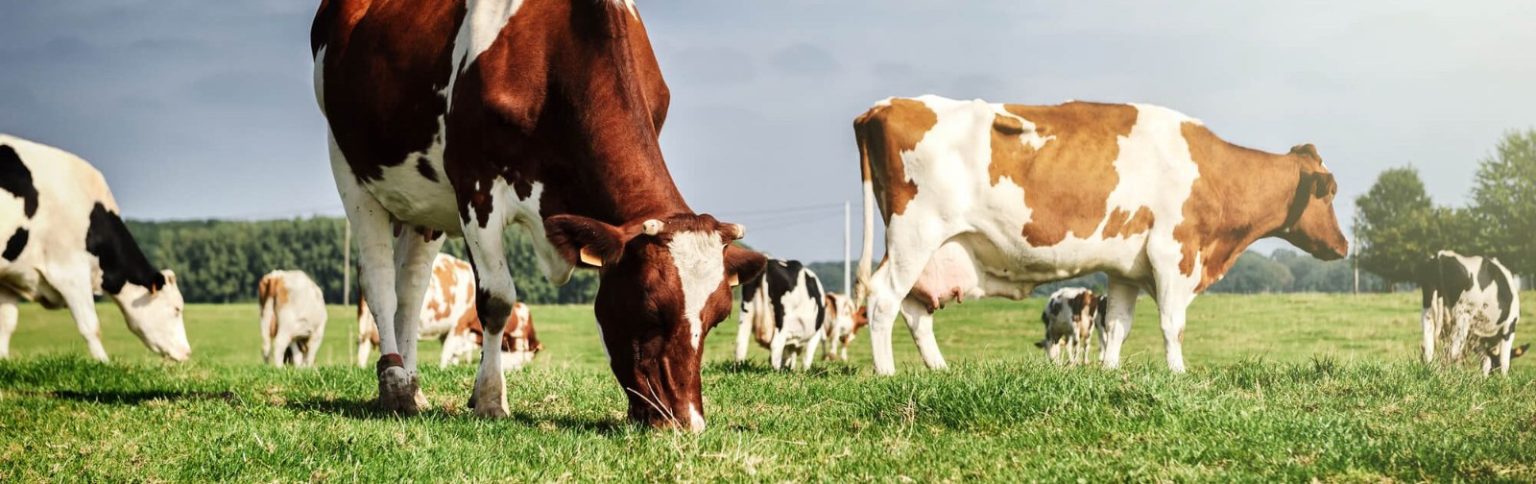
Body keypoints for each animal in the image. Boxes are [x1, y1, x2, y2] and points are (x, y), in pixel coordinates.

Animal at [0, 134, 190, 362]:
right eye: (177, 309)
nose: (187, 352)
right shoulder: (70, 272)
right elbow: (91, 326)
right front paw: (103, 363)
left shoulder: (10, 277)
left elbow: (6, 324)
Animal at [312, 0, 766, 429]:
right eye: (650, 308)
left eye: (718, 317)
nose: (688, 423)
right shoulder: (475, 186)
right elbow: (497, 299)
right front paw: (491, 399)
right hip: (349, 167)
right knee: (380, 282)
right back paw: (393, 383)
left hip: (424, 202)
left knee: (411, 290)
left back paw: (413, 387)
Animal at [853, 95, 1349, 375]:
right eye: (1330, 191)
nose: (1344, 245)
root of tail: (887, 105)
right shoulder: (1174, 252)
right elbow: (1173, 324)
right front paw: (1179, 375)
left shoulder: (1127, 267)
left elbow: (1118, 326)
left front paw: (1109, 374)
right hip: (914, 234)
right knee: (883, 300)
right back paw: (887, 374)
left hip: (931, 249)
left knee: (915, 310)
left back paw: (940, 370)